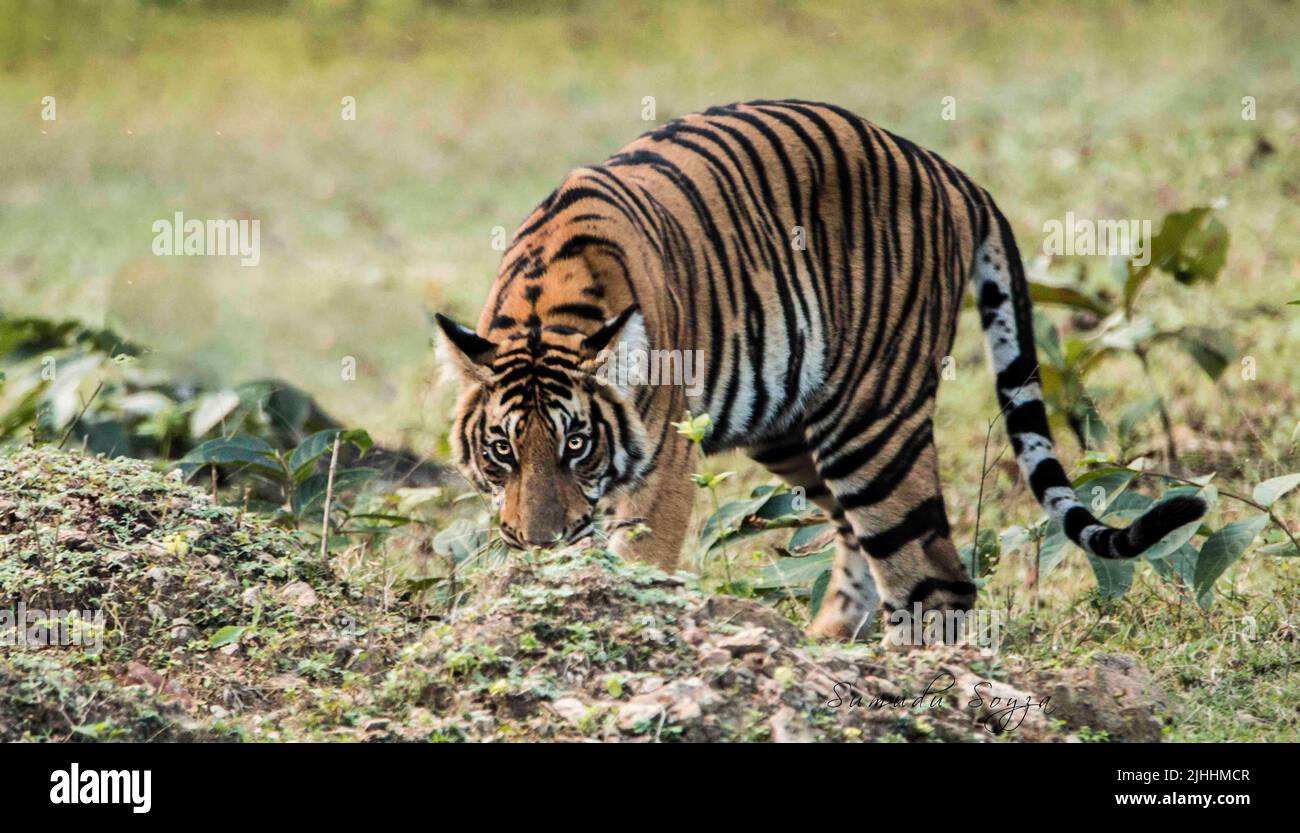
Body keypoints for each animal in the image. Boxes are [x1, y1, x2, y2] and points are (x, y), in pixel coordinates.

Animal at [435, 99, 1207, 643]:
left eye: (577, 444)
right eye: (502, 448)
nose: (540, 541)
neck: (546, 312)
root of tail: (944, 167)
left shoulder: (665, 465)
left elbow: (640, 561)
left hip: (871, 423)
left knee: (934, 582)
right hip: (790, 429)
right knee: (855, 545)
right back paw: (822, 642)